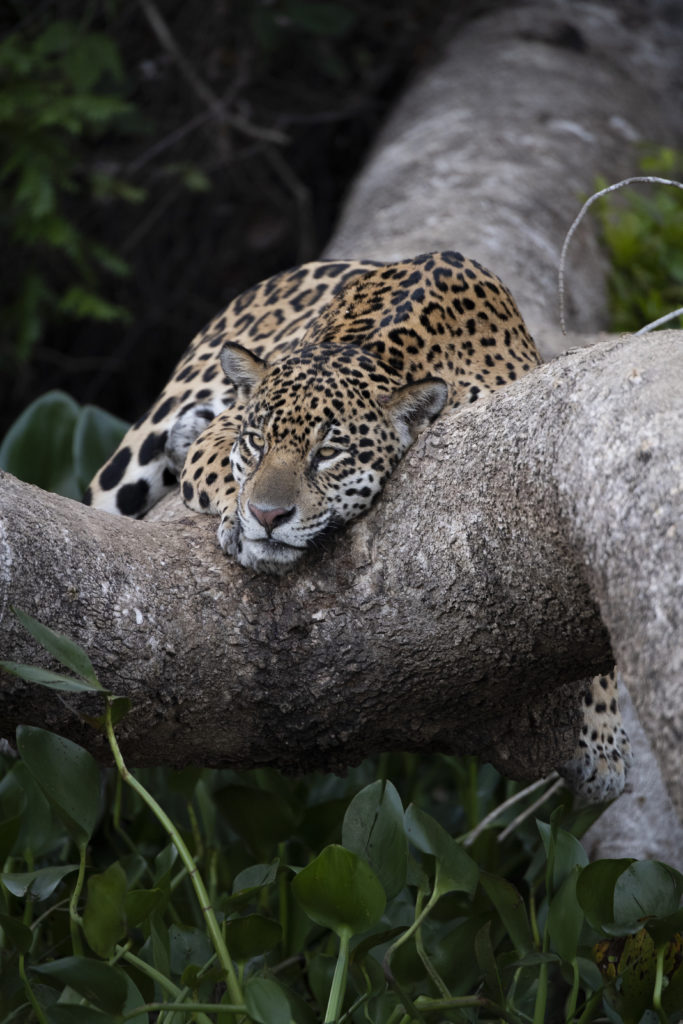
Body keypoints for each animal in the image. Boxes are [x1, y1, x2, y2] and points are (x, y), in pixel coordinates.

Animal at [84, 250, 631, 802]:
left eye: (328, 454)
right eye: (257, 442)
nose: (267, 517)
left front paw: (603, 736)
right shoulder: (219, 438)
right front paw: (242, 524)